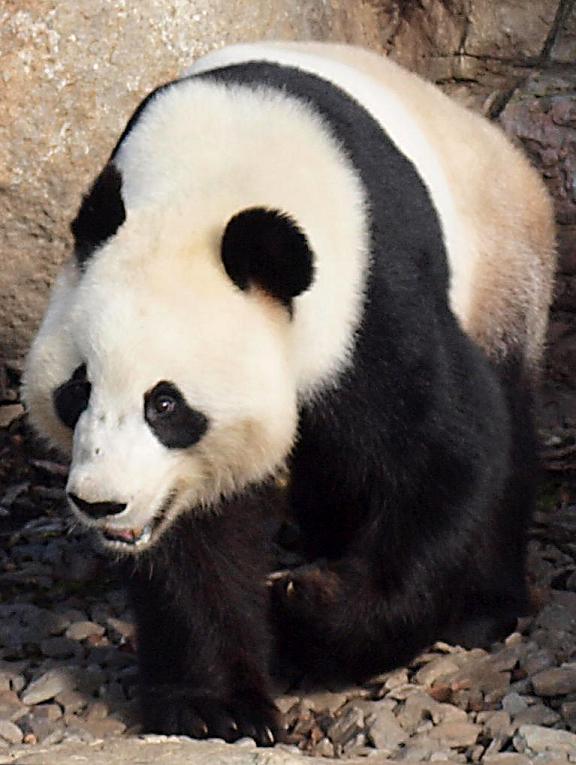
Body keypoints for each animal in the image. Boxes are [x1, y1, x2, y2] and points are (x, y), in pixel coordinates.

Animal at [23, 42, 555, 746]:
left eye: (165, 404)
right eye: (77, 390)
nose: (101, 503)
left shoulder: (369, 297)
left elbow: (451, 455)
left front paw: (308, 610)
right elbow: (197, 540)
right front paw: (217, 707)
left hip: (506, 273)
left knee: (508, 424)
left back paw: (483, 609)